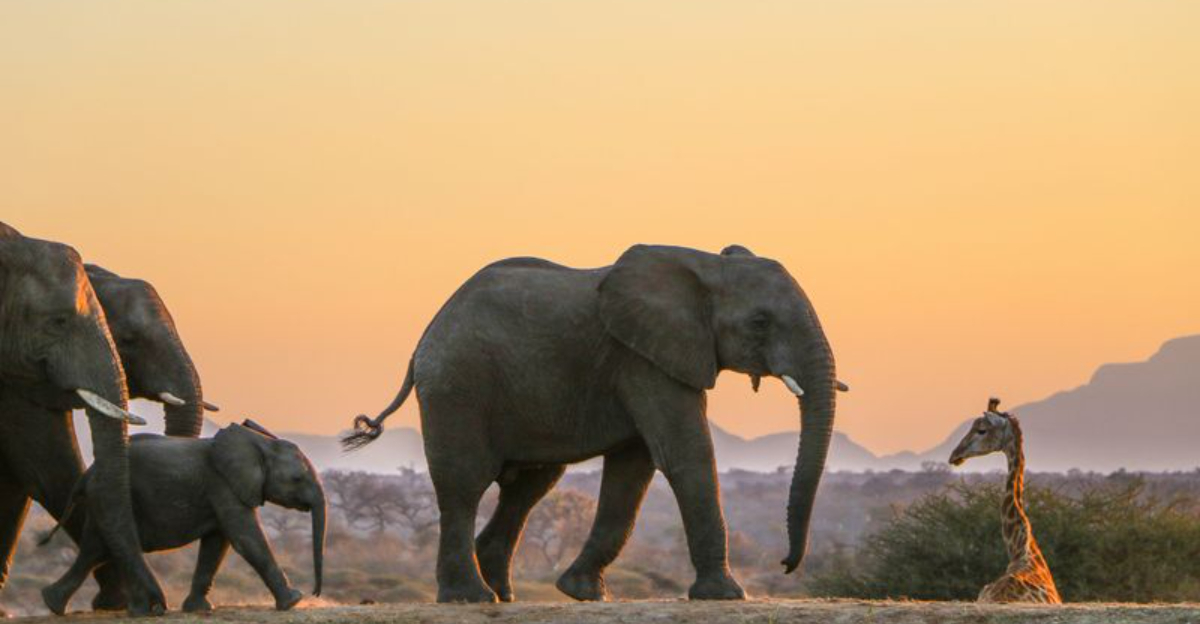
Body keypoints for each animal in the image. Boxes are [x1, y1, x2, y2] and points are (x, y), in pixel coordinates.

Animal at [41, 420, 326, 615]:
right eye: (297, 479)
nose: (315, 592)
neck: (261, 443)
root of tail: (88, 473)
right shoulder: (222, 483)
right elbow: (245, 538)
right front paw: (294, 601)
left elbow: (217, 544)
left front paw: (199, 609)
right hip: (110, 495)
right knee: (104, 546)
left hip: (102, 500)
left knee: (95, 549)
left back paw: (54, 603)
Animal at [343, 244, 845, 603]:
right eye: (760, 322)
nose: (784, 564)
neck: (705, 266)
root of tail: (423, 340)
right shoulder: (643, 359)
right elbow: (684, 453)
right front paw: (726, 596)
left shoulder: (646, 359)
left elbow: (633, 470)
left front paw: (582, 593)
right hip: (456, 388)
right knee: (464, 485)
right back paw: (469, 598)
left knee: (528, 488)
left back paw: (503, 595)